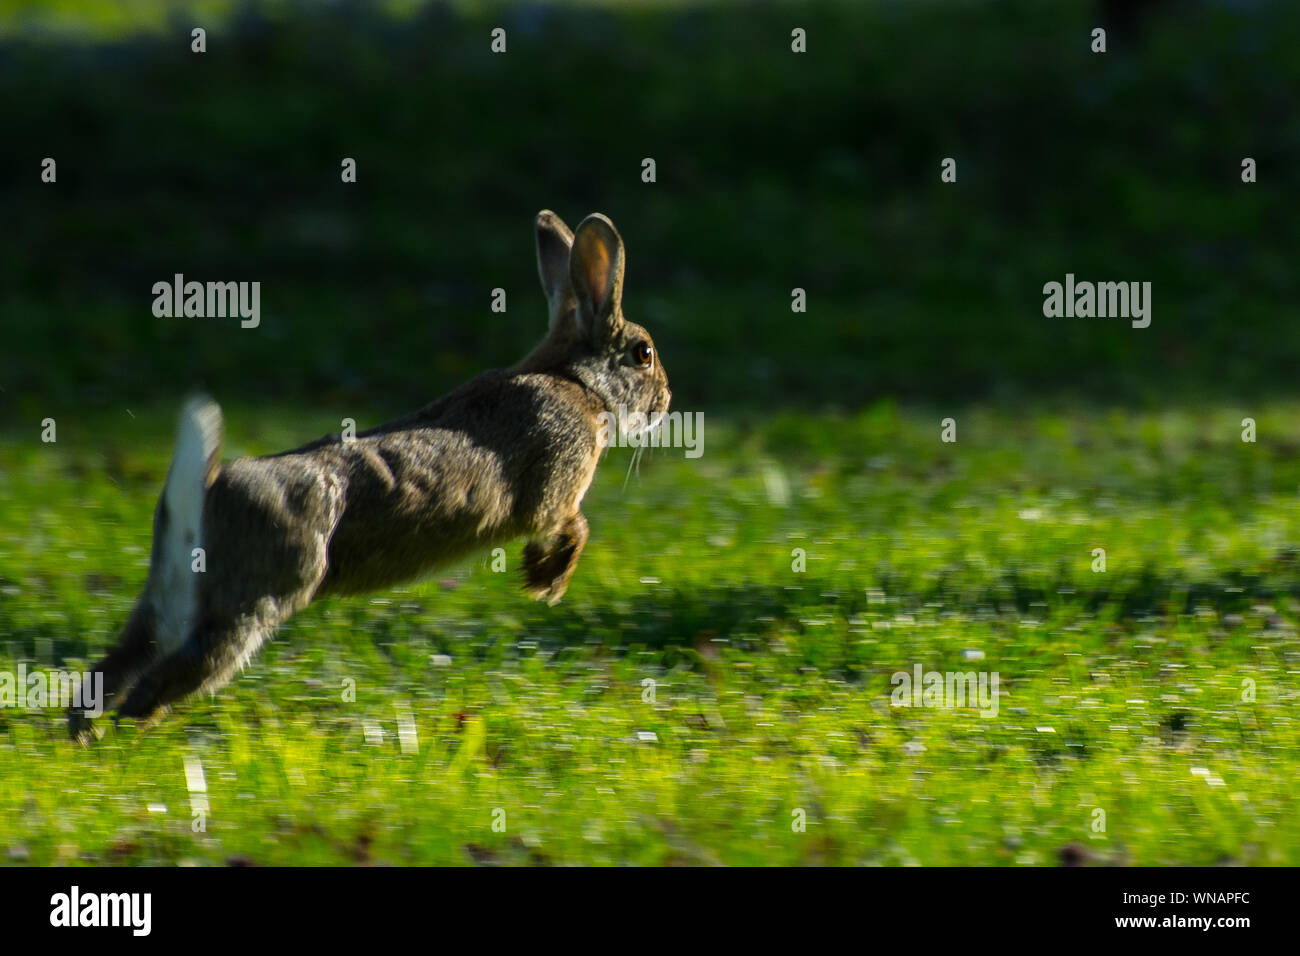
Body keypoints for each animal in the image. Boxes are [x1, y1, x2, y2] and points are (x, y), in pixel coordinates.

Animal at [69, 211, 671, 742]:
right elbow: (572, 524)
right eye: (642, 353)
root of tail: (203, 489)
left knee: (116, 665)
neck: (578, 380)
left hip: (166, 597)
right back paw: (133, 738)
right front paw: (545, 582)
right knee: (164, 678)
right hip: (250, 602)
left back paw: (85, 737)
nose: (667, 400)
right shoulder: (552, 488)